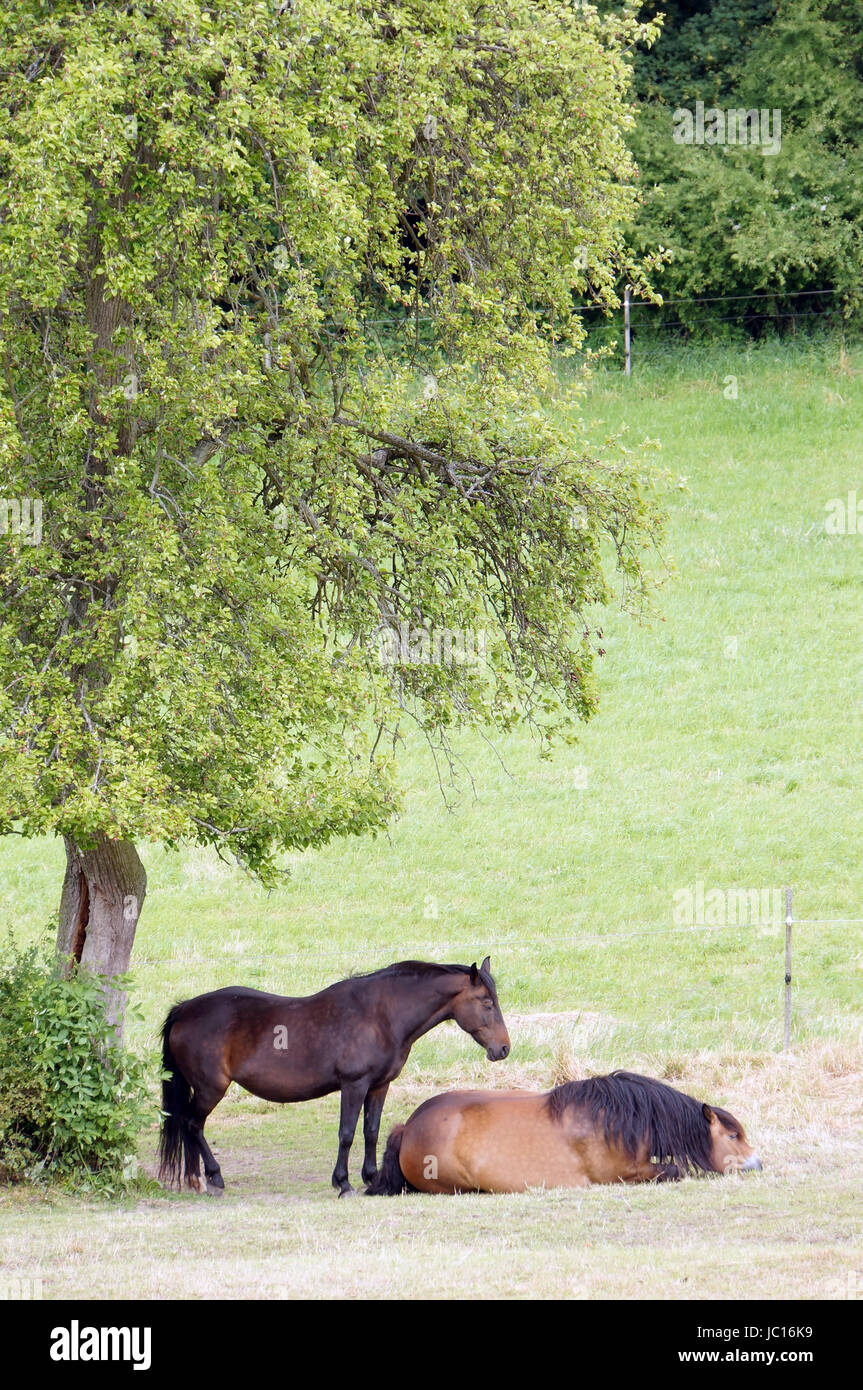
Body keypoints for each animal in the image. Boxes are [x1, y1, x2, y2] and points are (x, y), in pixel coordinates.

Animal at [158, 956, 510, 1197]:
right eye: (486, 1002)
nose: (503, 1048)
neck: (381, 1015)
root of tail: (184, 1009)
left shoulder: (379, 1086)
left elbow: (370, 1131)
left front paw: (371, 1177)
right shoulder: (353, 1085)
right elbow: (347, 1134)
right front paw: (343, 1183)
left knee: (190, 1125)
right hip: (210, 1089)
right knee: (192, 1123)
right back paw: (208, 1177)